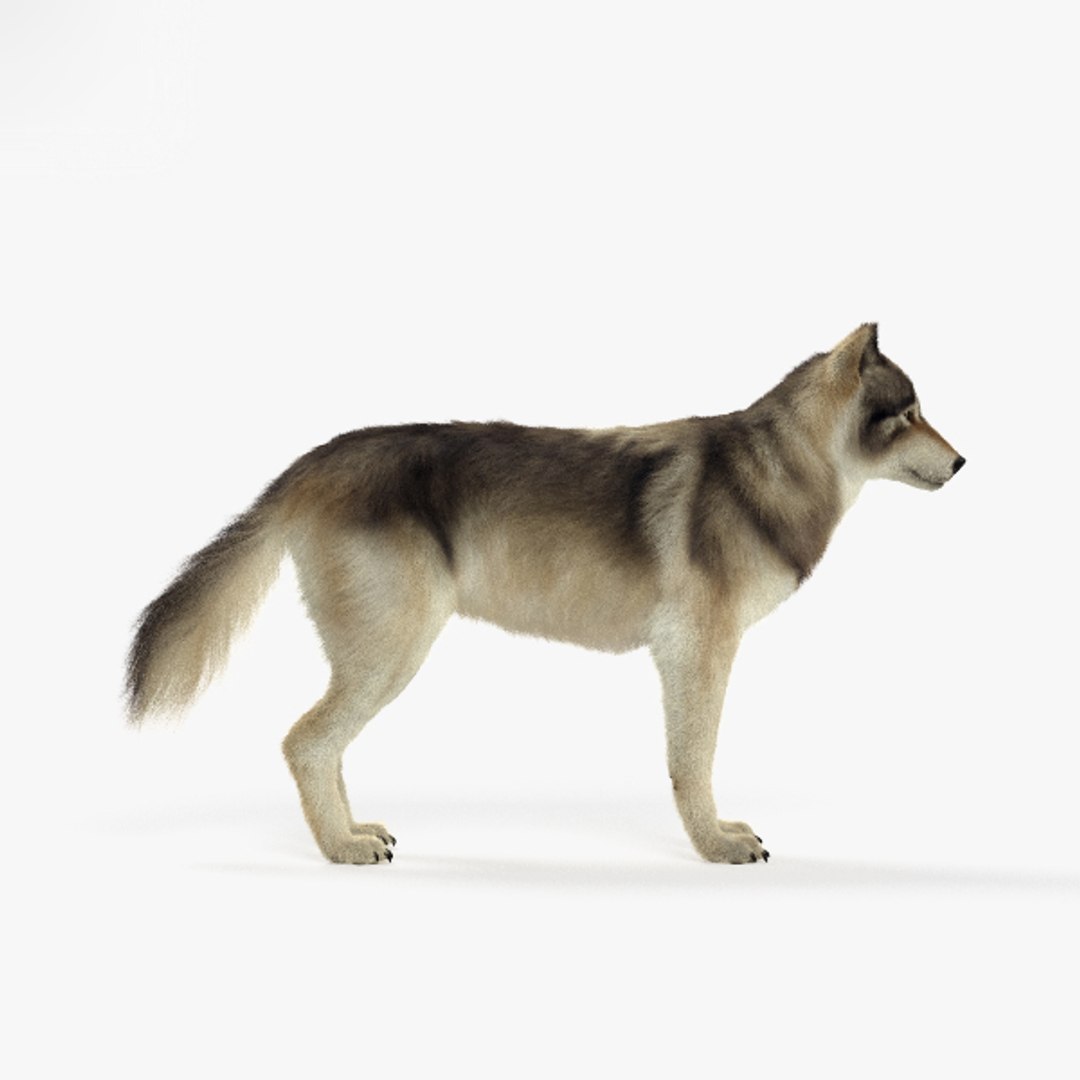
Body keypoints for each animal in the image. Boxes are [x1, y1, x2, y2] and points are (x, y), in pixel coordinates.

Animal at [127, 324, 964, 865]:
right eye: (909, 414)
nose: (963, 462)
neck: (774, 471)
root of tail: (305, 466)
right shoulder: (699, 652)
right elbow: (692, 762)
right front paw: (715, 845)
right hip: (392, 655)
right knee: (305, 741)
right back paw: (340, 849)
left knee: (323, 749)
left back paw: (354, 833)